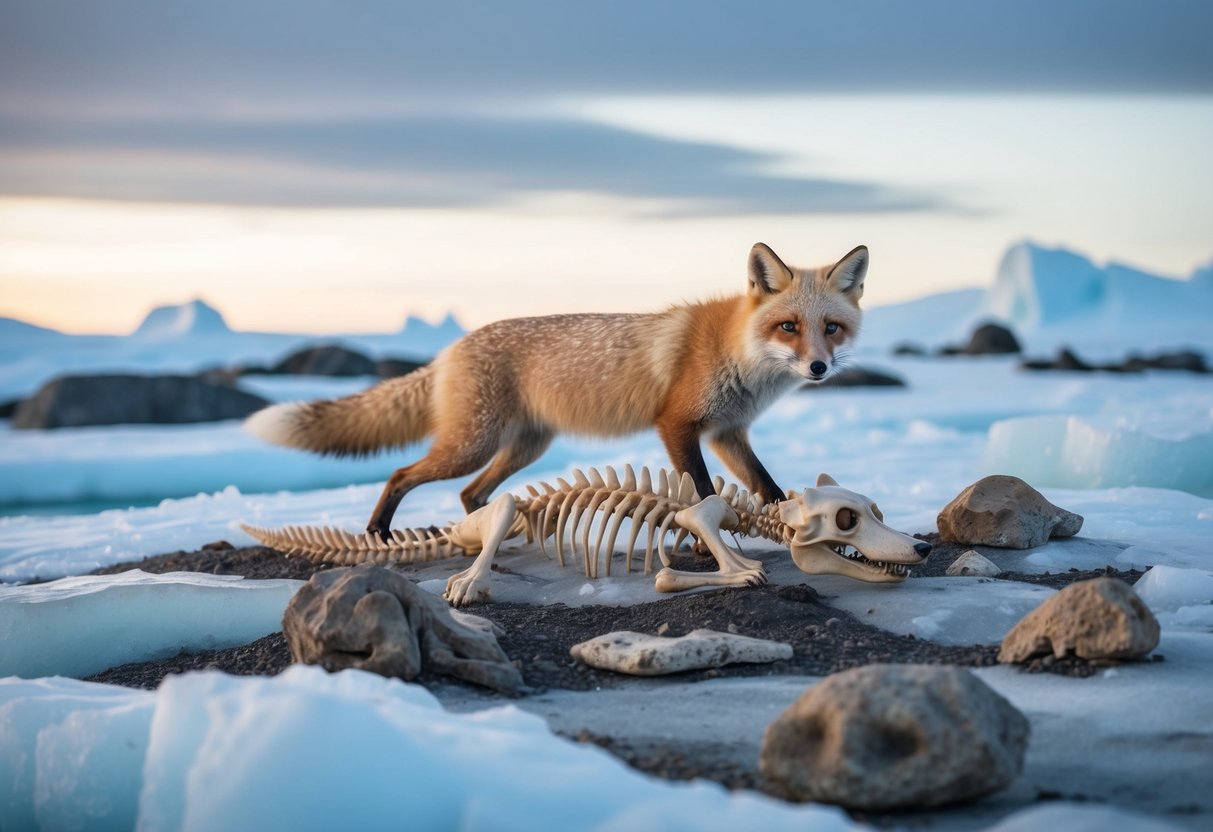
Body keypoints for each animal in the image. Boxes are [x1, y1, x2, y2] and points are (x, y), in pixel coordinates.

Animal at [245, 242, 869, 540]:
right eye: (788, 325)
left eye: (831, 328)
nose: (818, 367)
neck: (736, 350)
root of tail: (450, 348)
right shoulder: (677, 425)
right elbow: (701, 491)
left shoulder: (728, 433)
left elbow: (768, 488)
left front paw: (791, 527)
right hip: (471, 444)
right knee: (403, 474)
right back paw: (377, 532)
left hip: (524, 447)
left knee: (470, 493)